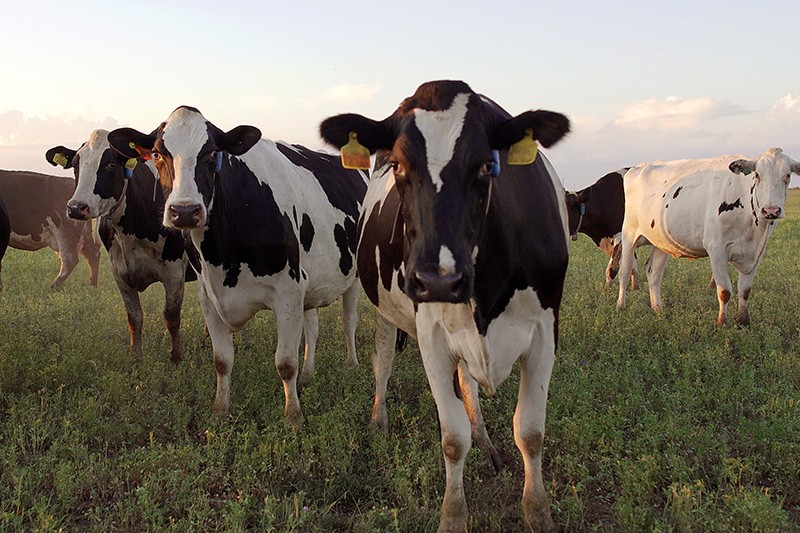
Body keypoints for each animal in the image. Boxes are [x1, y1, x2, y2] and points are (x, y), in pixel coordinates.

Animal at [45, 130, 194, 363]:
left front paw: (176, 359)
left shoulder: (175, 271)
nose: (76, 208)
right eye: (76, 165)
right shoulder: (120, 272)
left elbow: (171, 317)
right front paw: (136, 360)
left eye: (111, 164)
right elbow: (134, 317)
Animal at [107, 106, 368, 425]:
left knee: (349, 320)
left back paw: (352, 364)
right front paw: (220, 410)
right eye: (157, 154)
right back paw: (308, 373)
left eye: (211, 153)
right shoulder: (210, 297)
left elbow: (285, 362)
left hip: (353, 277)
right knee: (313, 327)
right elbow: (222, 360)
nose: (184, 211)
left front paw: (293, 416)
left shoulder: (288, 291)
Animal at [320, 80, 570, 533]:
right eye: (399, 166)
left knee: (468, 384)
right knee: (382, 360)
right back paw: (379, 420)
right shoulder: (431, 336)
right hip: (386, 310)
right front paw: (452, 517)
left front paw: (537, 513)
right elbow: (453, 439)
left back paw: (486, 441)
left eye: (487, 166)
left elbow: (530, 432)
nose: (439, 279)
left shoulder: (546, 331)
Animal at [616, 148, 799, 326]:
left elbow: (745, 290)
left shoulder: (757, 252)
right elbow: (724, 290)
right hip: (629, 234)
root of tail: (638, 167)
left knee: (653, 271)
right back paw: (620, 306)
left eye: (788, 176)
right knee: (624, 271)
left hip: (661, 242)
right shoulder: (716, 249)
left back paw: (658, 309)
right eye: (757, 175)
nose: (771, 211)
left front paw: (743, 321)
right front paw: (722, 323)